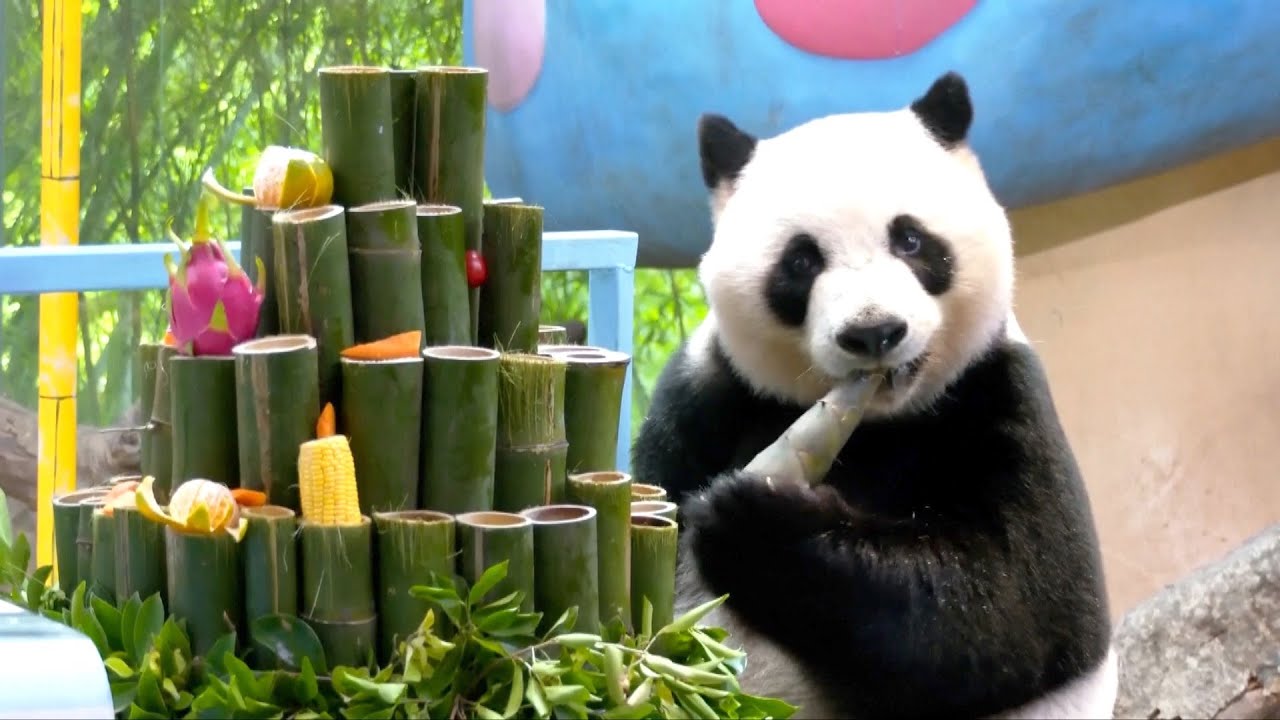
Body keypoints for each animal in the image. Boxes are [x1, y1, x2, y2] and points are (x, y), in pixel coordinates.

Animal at [631, 72, 1117, 719]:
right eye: (801, 260)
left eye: (910, 239)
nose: (873, 332)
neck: (881, 421)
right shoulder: (707, 398)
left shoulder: (998, 393)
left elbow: (1015, 602)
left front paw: (752, 519)